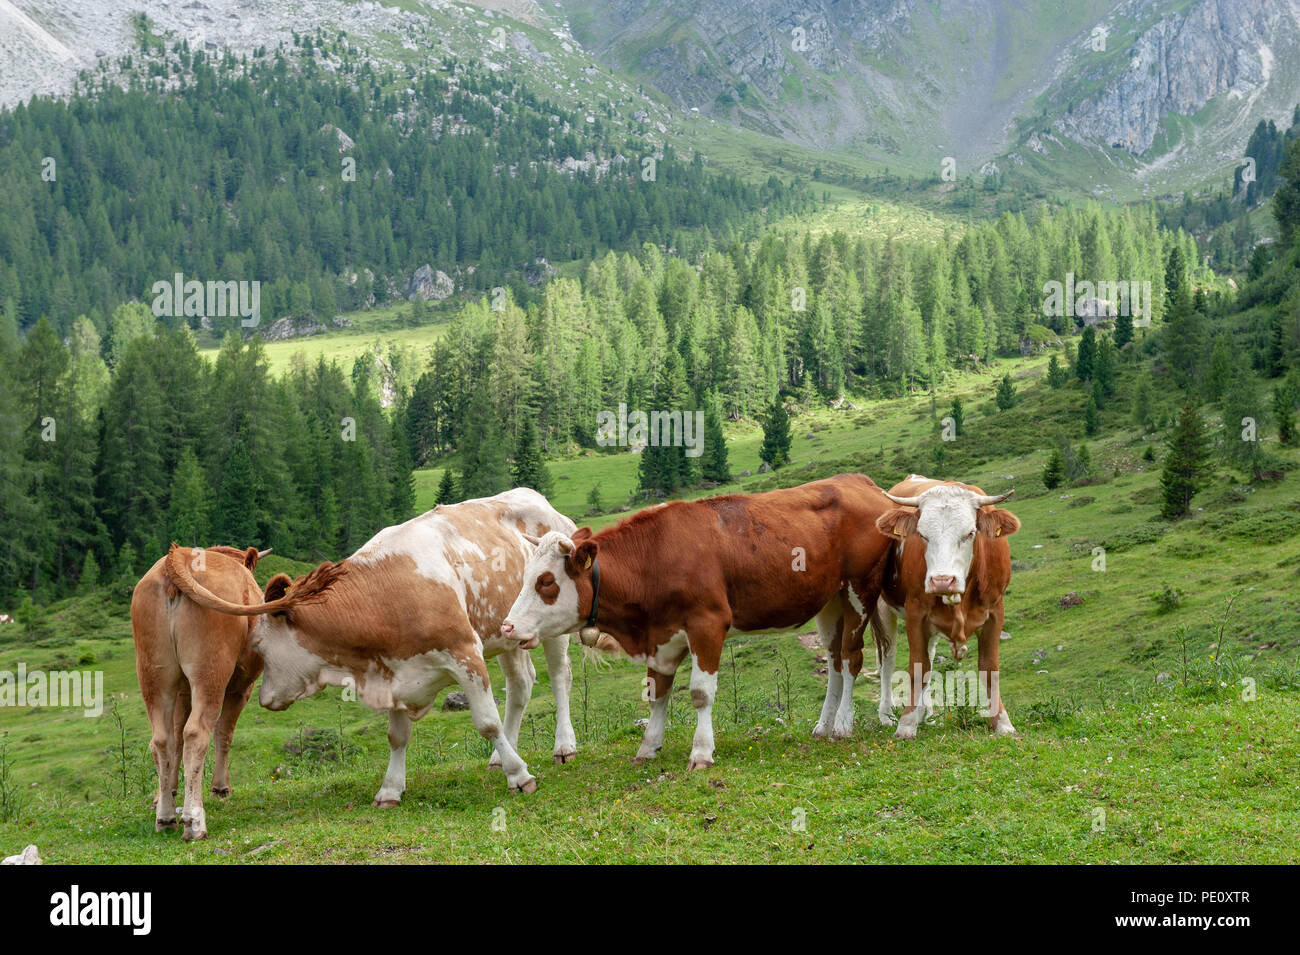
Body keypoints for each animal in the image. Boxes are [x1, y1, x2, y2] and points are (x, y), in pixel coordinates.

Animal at [133, 544, 269, 841]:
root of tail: (179, 555)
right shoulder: (242, 687)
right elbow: (224, 734)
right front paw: (220, 787)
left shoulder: (183, 692)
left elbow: (176, 740)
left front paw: (169, 791)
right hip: (211, 671)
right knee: (197, 733)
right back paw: (194, 821)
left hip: (153, 674)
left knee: (163, 740)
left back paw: (165, 816)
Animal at [163, 489, 578, 800]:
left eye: (260, 645)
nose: (264, 699)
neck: (386, 595)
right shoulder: (393, 671)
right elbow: (396, 736)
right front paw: (390, 789)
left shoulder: (465, 654)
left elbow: (487, 722)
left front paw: (519, 775)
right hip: (508, 633)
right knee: (521, 685)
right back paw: (499, 755)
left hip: (551, 626)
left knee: (559, 676)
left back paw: (563, 745)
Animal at [500, 474, 898, 769]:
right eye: (526, 575)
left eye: (546, 581)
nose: (507, 627)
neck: (654, 557)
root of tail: (859, 481)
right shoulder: (660, 638)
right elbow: (656, 693)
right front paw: (648, 747)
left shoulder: (708, 625)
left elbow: (700, 692)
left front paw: (702, 752)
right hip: (830, 601)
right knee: (833, 661)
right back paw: (823, 725)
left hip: (860, 590)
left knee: (850, 657)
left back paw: (843, 725)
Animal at [871, 474, 1020, 741]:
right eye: (922, 535)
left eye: (970, 533)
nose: (941, 580)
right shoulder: (916, 613)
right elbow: (917, 667)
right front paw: (906, 725)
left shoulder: (995, 612)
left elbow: (989, 669)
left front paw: (1003, 723)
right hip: (883, 607)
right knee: (887, 659)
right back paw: (887, 715)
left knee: (929, 656)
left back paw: (926, 714)